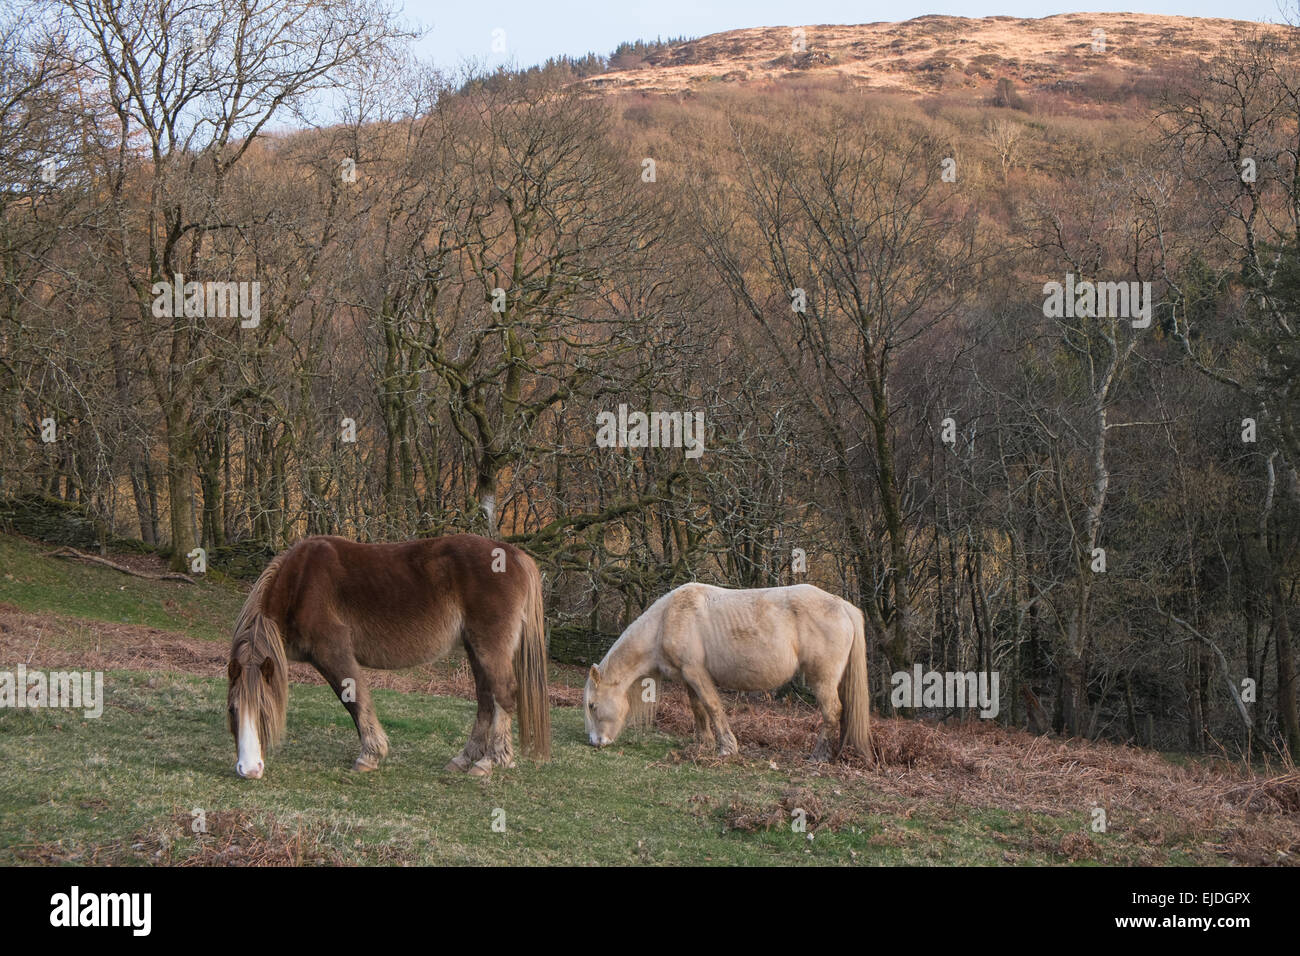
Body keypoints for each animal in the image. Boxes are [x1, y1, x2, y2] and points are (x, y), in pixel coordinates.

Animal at [226, 534, 550, 779]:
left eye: (264, 710)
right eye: (232, 710)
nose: (249, 770)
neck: (299, 582)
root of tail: (514, 554)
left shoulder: (333, 651)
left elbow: (354, 699)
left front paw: (370, 755)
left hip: (490, 648)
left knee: (504, 696)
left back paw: (490, 762)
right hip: (475, 648)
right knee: (486, 700)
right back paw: (465, 759)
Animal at [584, 582, 872, 761]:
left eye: (592, 705)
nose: (596, 742)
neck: (668, 619)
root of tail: (841, 605)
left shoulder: (697, 673)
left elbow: (713, 706)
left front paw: (727, 748)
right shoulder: (688, 678)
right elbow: (697, 708)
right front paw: (704, 744)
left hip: (823, 680)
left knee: (832, 712)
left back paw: (818, 756)